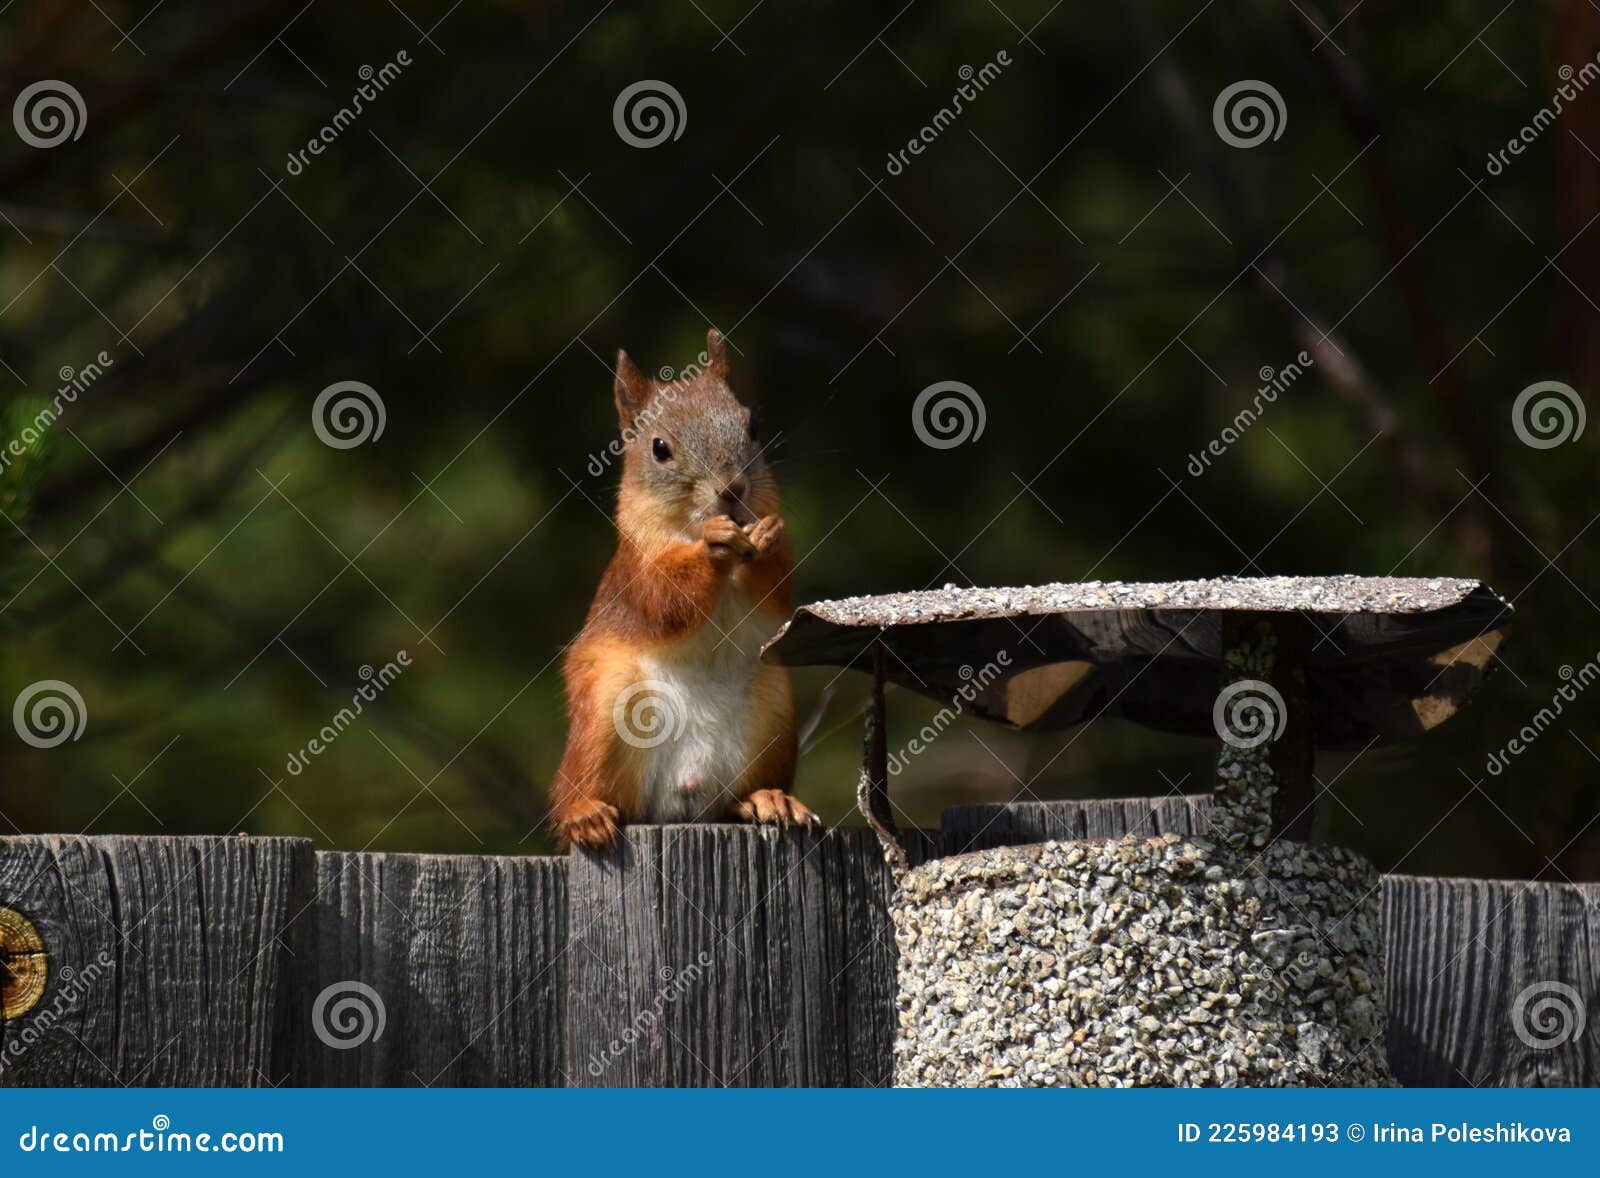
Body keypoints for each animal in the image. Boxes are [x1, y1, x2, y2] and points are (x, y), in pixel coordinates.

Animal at [550, 328, 817, 850]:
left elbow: (776, 590)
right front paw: (714, 545)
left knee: (735, 800)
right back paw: (583, 816)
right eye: (660, 448)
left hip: (773, 706)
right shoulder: (635, 570)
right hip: (605, 708)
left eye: (753, 426)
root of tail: (680, 798)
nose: (732, 490)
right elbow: (664, 600)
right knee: (576, 792)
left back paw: (766, 799)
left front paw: (768, 536)